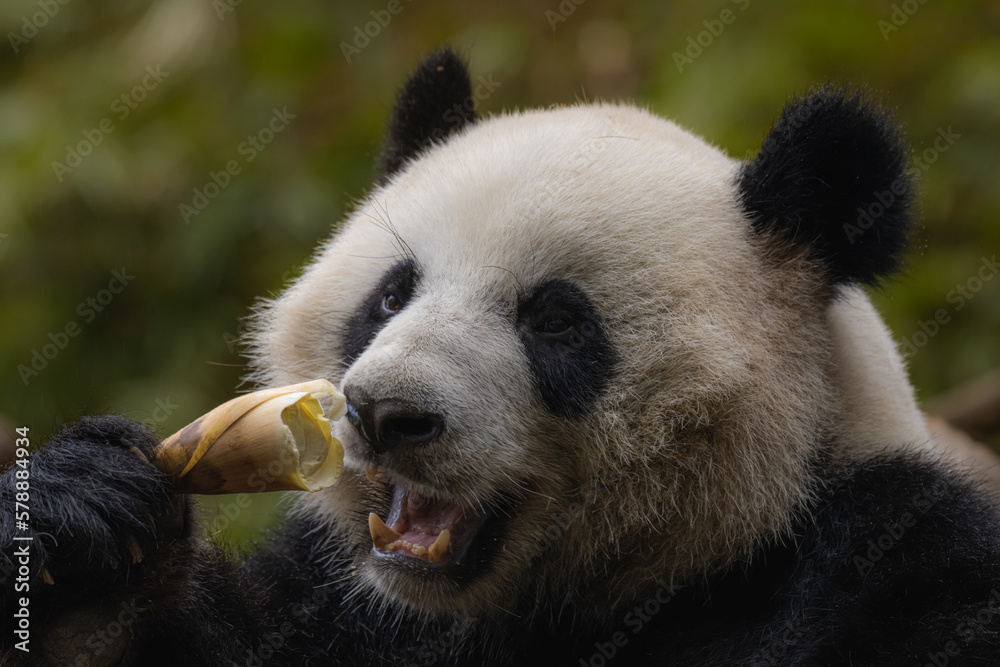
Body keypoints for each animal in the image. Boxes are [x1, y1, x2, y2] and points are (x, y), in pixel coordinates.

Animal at [3, 48, 1000, 666]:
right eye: (392, 293)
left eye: (554, 321)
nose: (384, 413)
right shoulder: (339, 604)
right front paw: (93, 533)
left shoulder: (879, 562)